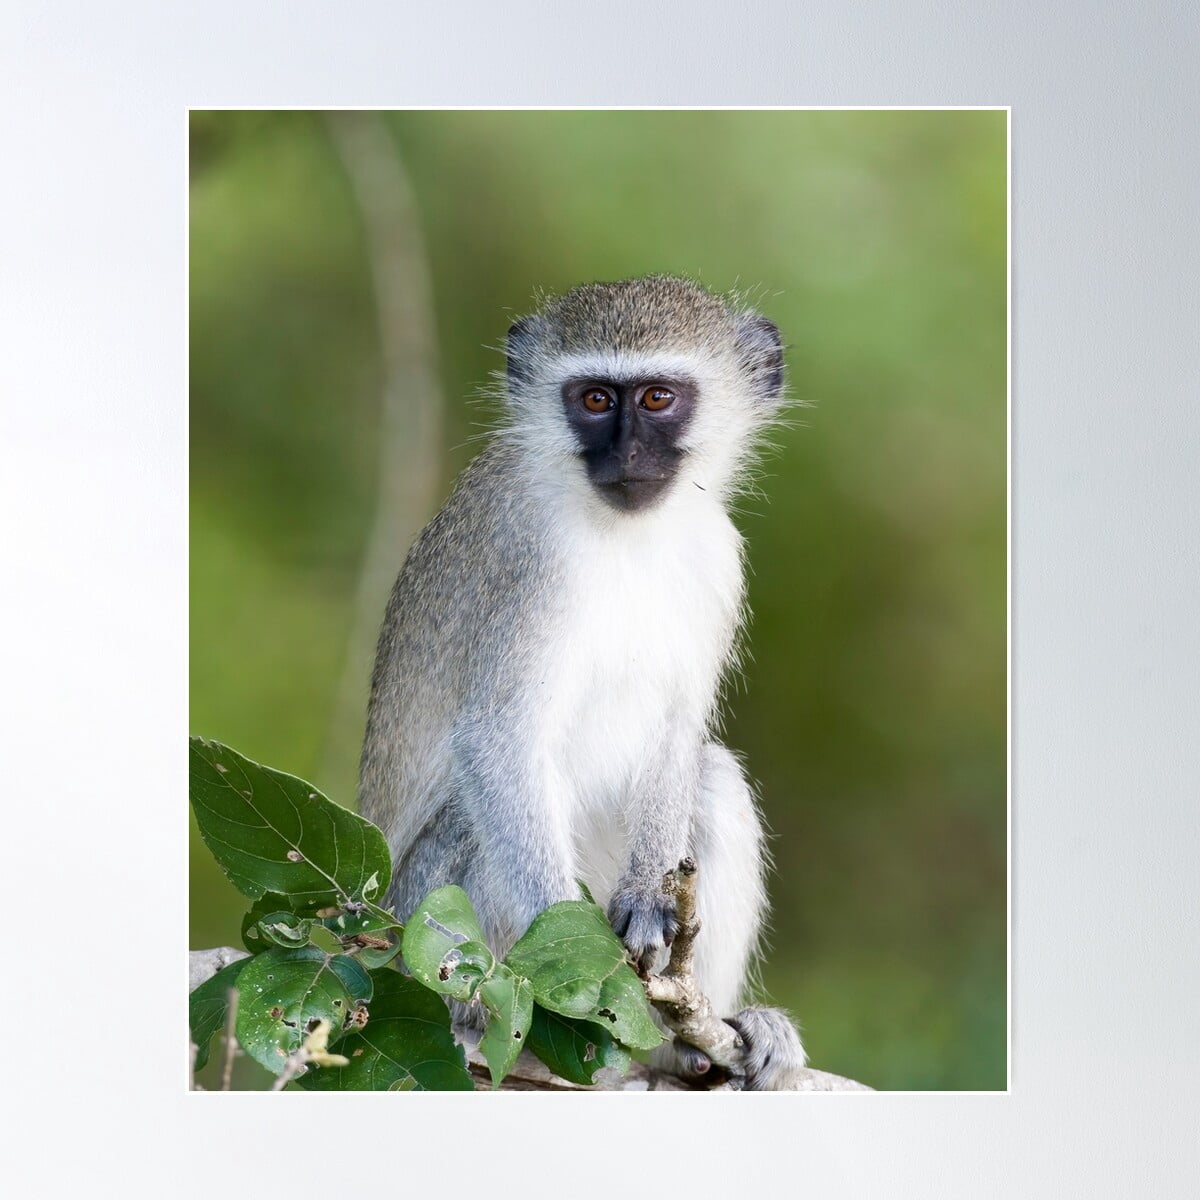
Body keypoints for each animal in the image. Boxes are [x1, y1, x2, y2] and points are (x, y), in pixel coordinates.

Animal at [359, 274, 807, 1089]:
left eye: (657, 398)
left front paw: (649, 903)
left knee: (712, 777)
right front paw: (578, 951)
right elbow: (497, 740)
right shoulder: (525, 557)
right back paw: (483, 1019)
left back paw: (695, 1041)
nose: (626, 451)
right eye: (595, 399)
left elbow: (679, 731)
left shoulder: (718, 556)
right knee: (475, 824)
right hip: (412, 928)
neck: (630, 530)